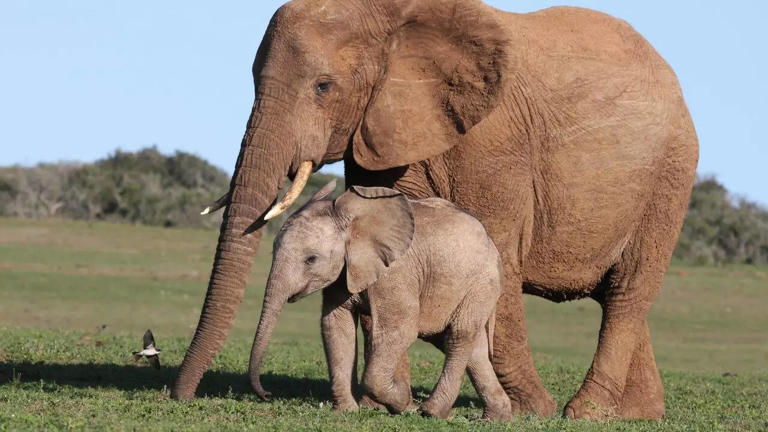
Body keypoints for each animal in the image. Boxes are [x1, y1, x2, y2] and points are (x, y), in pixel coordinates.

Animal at [247, 181, 512, 420]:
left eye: (311, 259)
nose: (267, 394)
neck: (352, 220)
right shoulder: (344, 272)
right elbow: (336, 326)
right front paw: (346, 412)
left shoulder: (396, 272)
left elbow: (400, 329)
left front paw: (405, 404)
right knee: (471, 346)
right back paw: (496, 418)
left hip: (482, 284)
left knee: (459, 335)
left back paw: (431, 412)